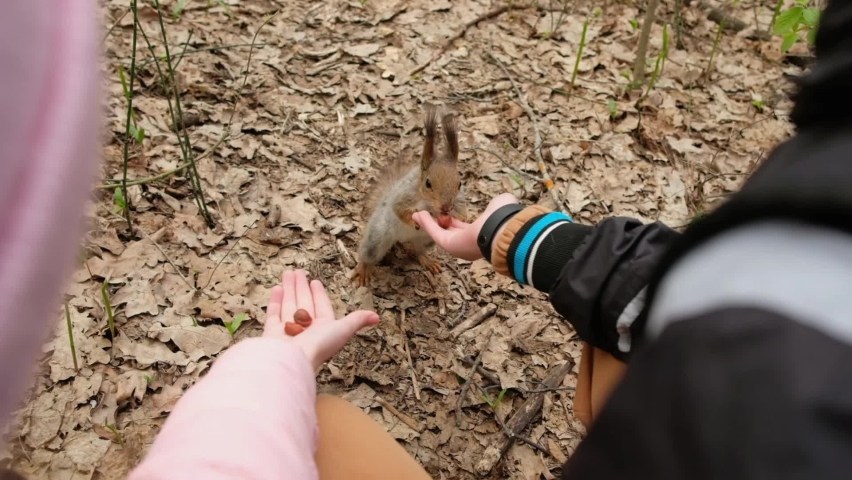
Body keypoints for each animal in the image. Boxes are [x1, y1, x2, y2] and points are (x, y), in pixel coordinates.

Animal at [353, 104, 465, 287]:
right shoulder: (405, 195)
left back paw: (427, 260)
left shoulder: (459, 199)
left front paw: (463, 218)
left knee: (418, 250)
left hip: (426, 239)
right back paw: (364, 269)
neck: (428, 203)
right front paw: (412, 220)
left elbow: (462, 209)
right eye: (428, 183)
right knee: (369, 253)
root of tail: (401, 238)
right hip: (377, 237)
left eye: (459, 184)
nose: (446, 207)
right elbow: (398, 208)